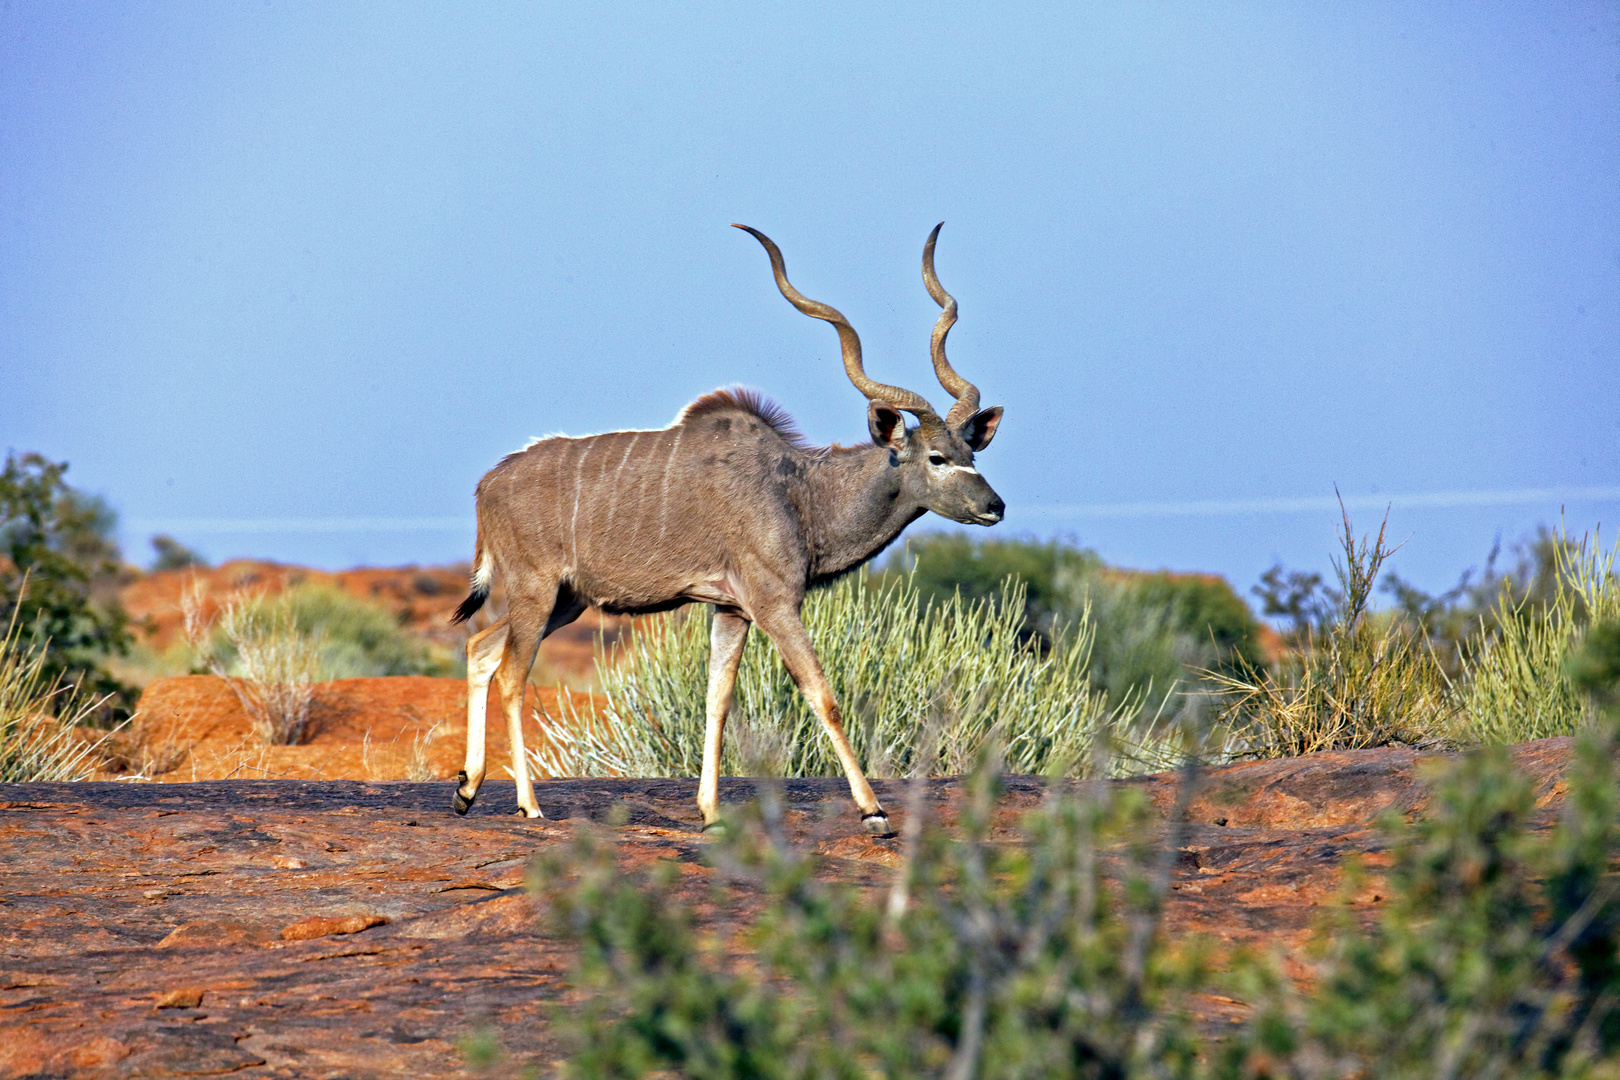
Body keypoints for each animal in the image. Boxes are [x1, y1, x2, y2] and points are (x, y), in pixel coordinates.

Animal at [450, 216, 1004, 829]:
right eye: (937, 457)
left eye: (972, 452)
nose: (994, 507)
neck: (801, 492)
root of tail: (487, 486)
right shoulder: (774, 603)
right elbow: (822, 694)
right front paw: (873, 811)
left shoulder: (730, 609)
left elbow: (717, 698)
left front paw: (711, 811)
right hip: (536, 590)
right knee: (510, 675)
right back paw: (528, 805)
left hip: (567, 600)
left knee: (481, 649)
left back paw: (466, 789)